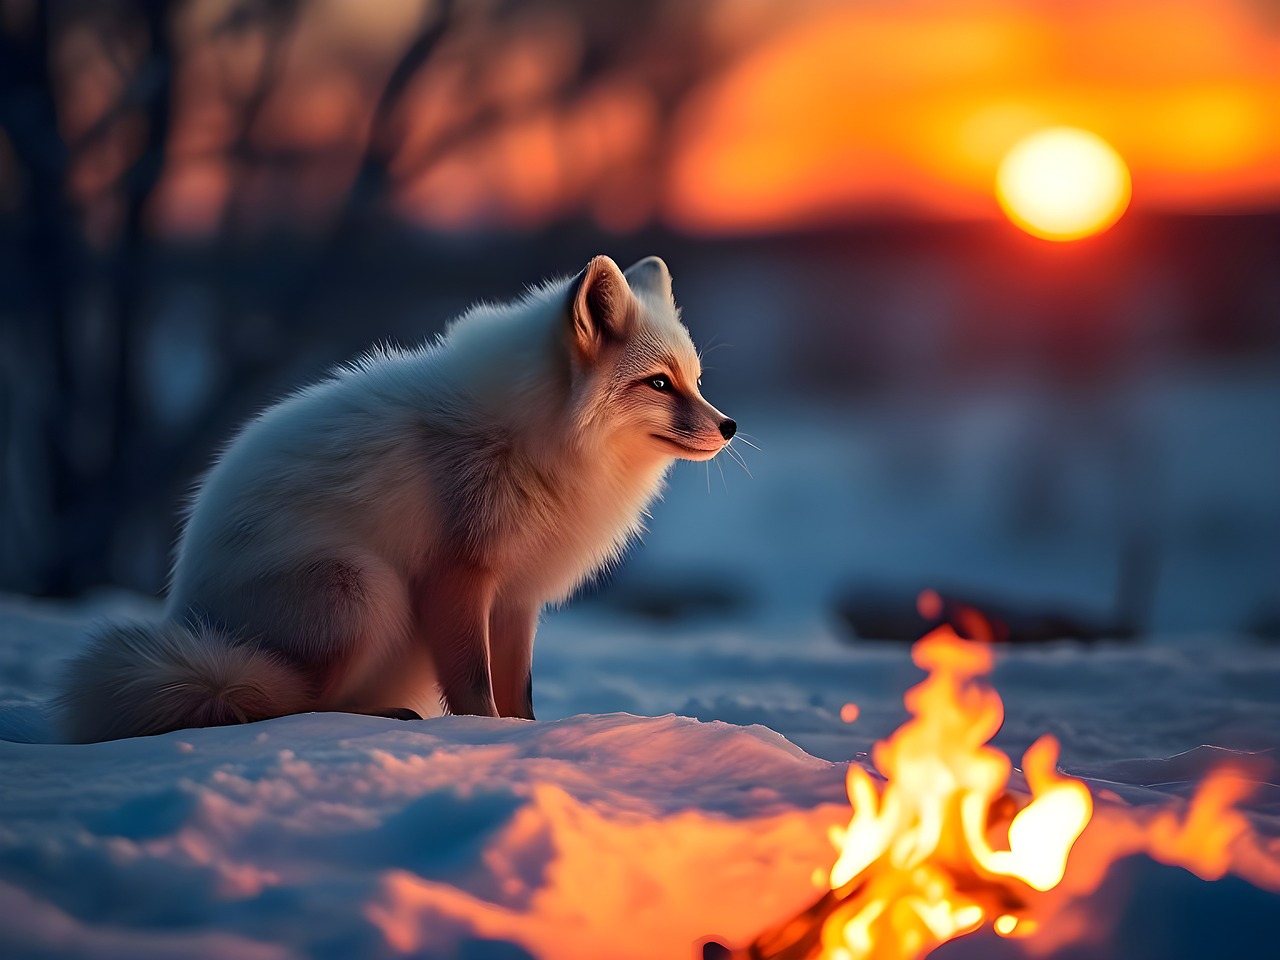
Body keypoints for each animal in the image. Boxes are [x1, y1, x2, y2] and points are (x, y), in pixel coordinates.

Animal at [57, 255, 735, 743]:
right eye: (658, 383)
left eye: (696, 380)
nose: (729, 427)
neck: (534, 439)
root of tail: (189, 618)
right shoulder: (456, 578)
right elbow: (475, 687)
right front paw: (484, 740)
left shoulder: (517, 594)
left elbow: (520, 693)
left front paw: (526, 742)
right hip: (365, 589)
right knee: (298, 706)